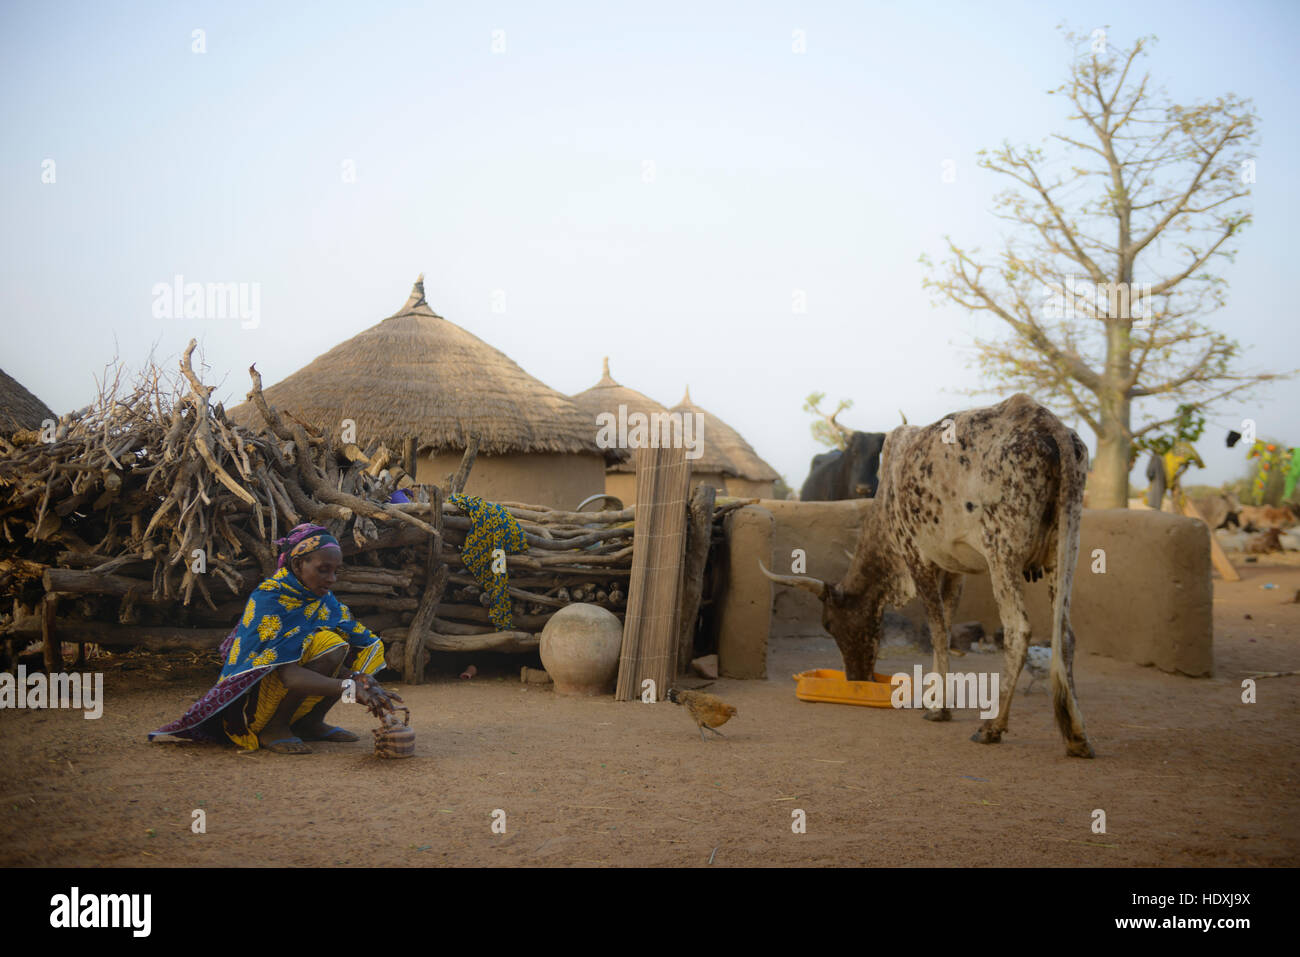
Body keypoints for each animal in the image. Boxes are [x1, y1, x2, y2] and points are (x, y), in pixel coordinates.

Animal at [763, 393, 1095, 758]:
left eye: (828, 624)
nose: (856, 677)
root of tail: (1045, 422)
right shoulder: (955, 569)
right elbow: (946, 627)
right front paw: (937, 697)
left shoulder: (916, 554)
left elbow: (936, 630)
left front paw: (938, 708)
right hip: (1066, 548)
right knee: (1066, 634)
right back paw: (1076, 735)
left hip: (1002, 552)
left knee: (1018, 629)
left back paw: (992, 727)